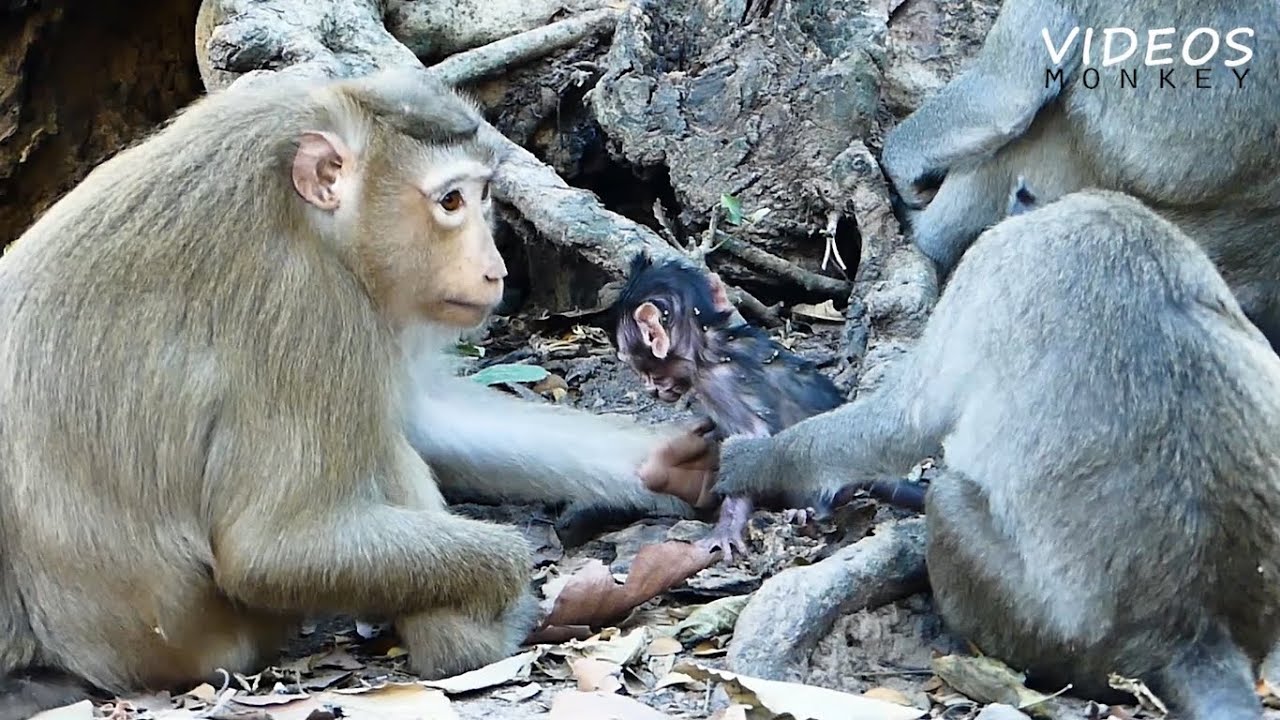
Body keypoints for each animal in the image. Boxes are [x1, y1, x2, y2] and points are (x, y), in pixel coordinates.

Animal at [0, 67, 701, 719]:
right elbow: (272, 548)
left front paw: (682, 463)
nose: (495, 268)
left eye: (481, 196)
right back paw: (466, 647)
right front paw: (514, 583)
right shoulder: (307, 305)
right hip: (184, 639)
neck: (311, 218)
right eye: (450, 202)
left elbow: (421, 416)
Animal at [609, 253, 846, 561]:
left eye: (642, 370)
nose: (650, 389)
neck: (709, 345)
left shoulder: (717, 385)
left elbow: (751, 441)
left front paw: (726, 530)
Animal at [702, 189, 1280, 719]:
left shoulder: (988, 263)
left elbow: (903, 422)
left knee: (948, 497)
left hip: (1051, 635)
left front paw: (755, 463)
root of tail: (1195, 633)